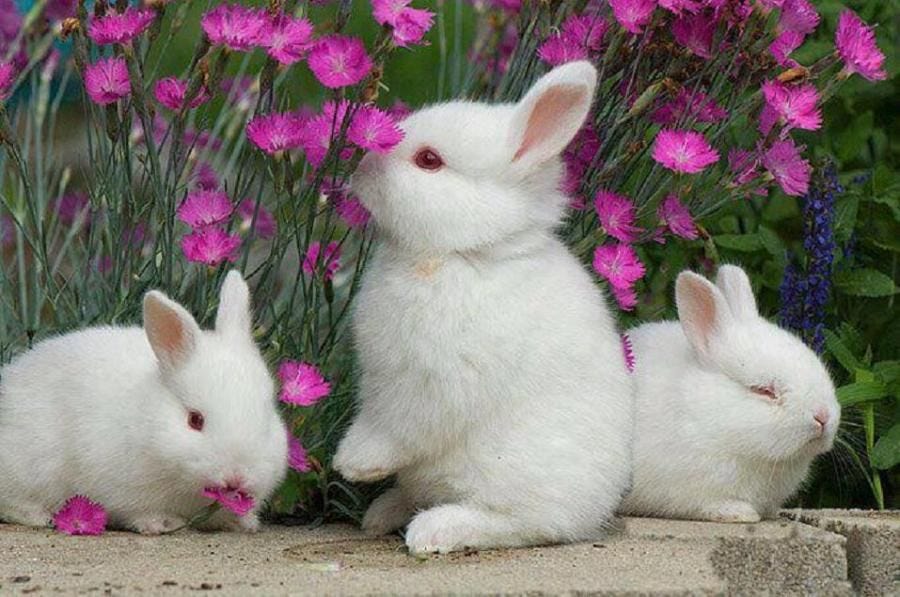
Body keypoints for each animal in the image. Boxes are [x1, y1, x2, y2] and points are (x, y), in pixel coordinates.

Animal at [0, 271, 288, 534]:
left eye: (266, 420)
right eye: (195, 420)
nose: (236, 476)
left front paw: (243, 523)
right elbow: (136, 512)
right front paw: (161, 523)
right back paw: (39, 515)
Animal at [332, 61, 634, 554]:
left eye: (429, 160)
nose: (359, 168)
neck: (464, 254)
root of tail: (597, 508)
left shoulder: (431, 382)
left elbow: (397, 426)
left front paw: (355, 463)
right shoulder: (381, 377)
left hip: (515, 476)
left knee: (521, 524)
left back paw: (433, 530)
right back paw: (383, 513)